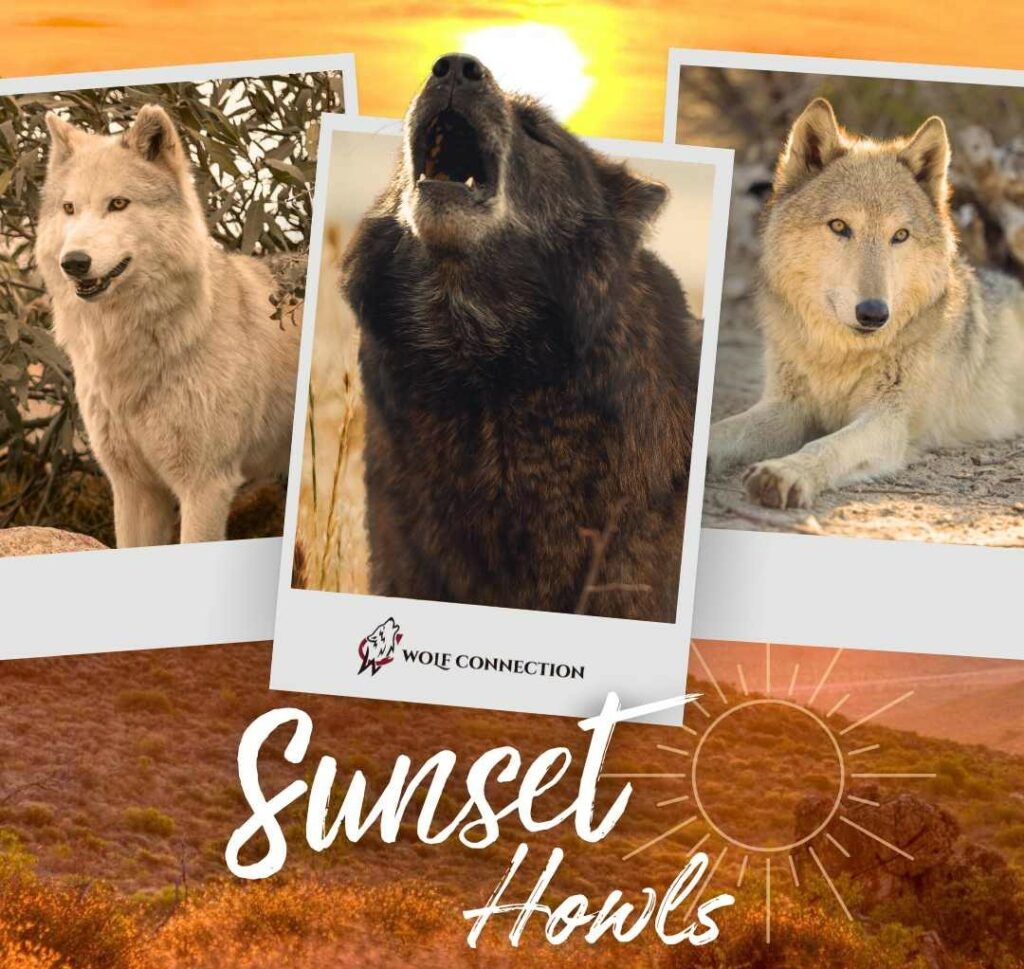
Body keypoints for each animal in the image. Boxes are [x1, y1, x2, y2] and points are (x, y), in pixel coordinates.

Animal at [709, 98, 1024, 509]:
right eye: (840, 227)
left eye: (900, 235)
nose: (874, 313)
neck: (838, 359)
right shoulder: (787, 406)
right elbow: (725, 429)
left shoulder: (888, 420)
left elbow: (828, 446)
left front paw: (786, 472)